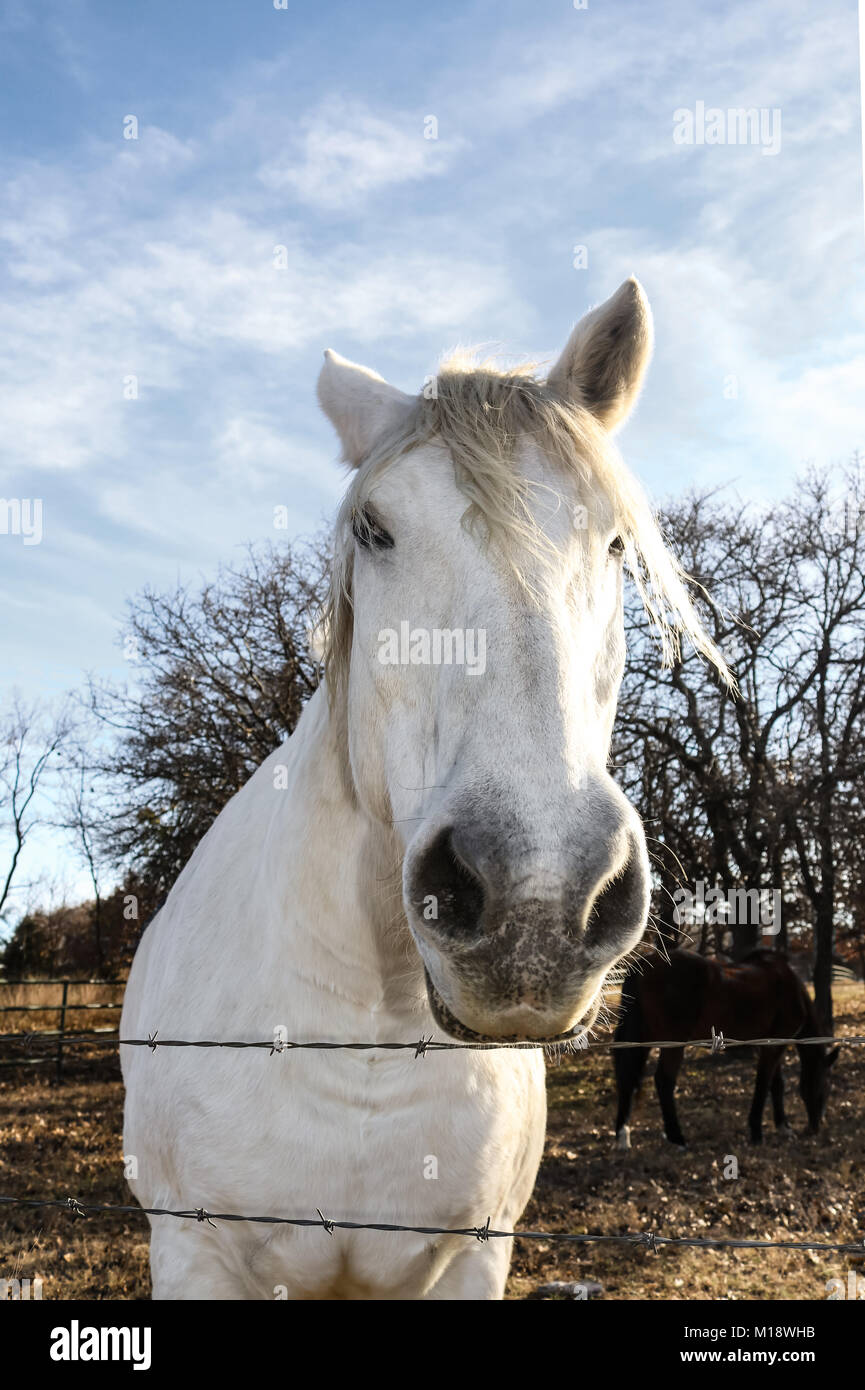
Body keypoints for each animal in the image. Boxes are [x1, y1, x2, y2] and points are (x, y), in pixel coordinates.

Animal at [122, 278, 728, 1300]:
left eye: (613, 542)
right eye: (376, 529)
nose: (537, 897)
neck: (367, 1040)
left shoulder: (473, 1252)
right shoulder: (196, 1250)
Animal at [613, 948, 840, 1149]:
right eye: (827, 1085)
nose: (815, 1127)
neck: (791, 989)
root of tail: (643, 965)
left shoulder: (769, 1043)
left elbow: (777, 1083)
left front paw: (783, 1127)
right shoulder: (774, 1045)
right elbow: (763, 1083)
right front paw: (757, 1132)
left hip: (642, 1040)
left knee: (627, 1079)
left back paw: (623, 1135)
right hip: (671, 1043)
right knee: (663, 1081)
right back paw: (677, 1138)